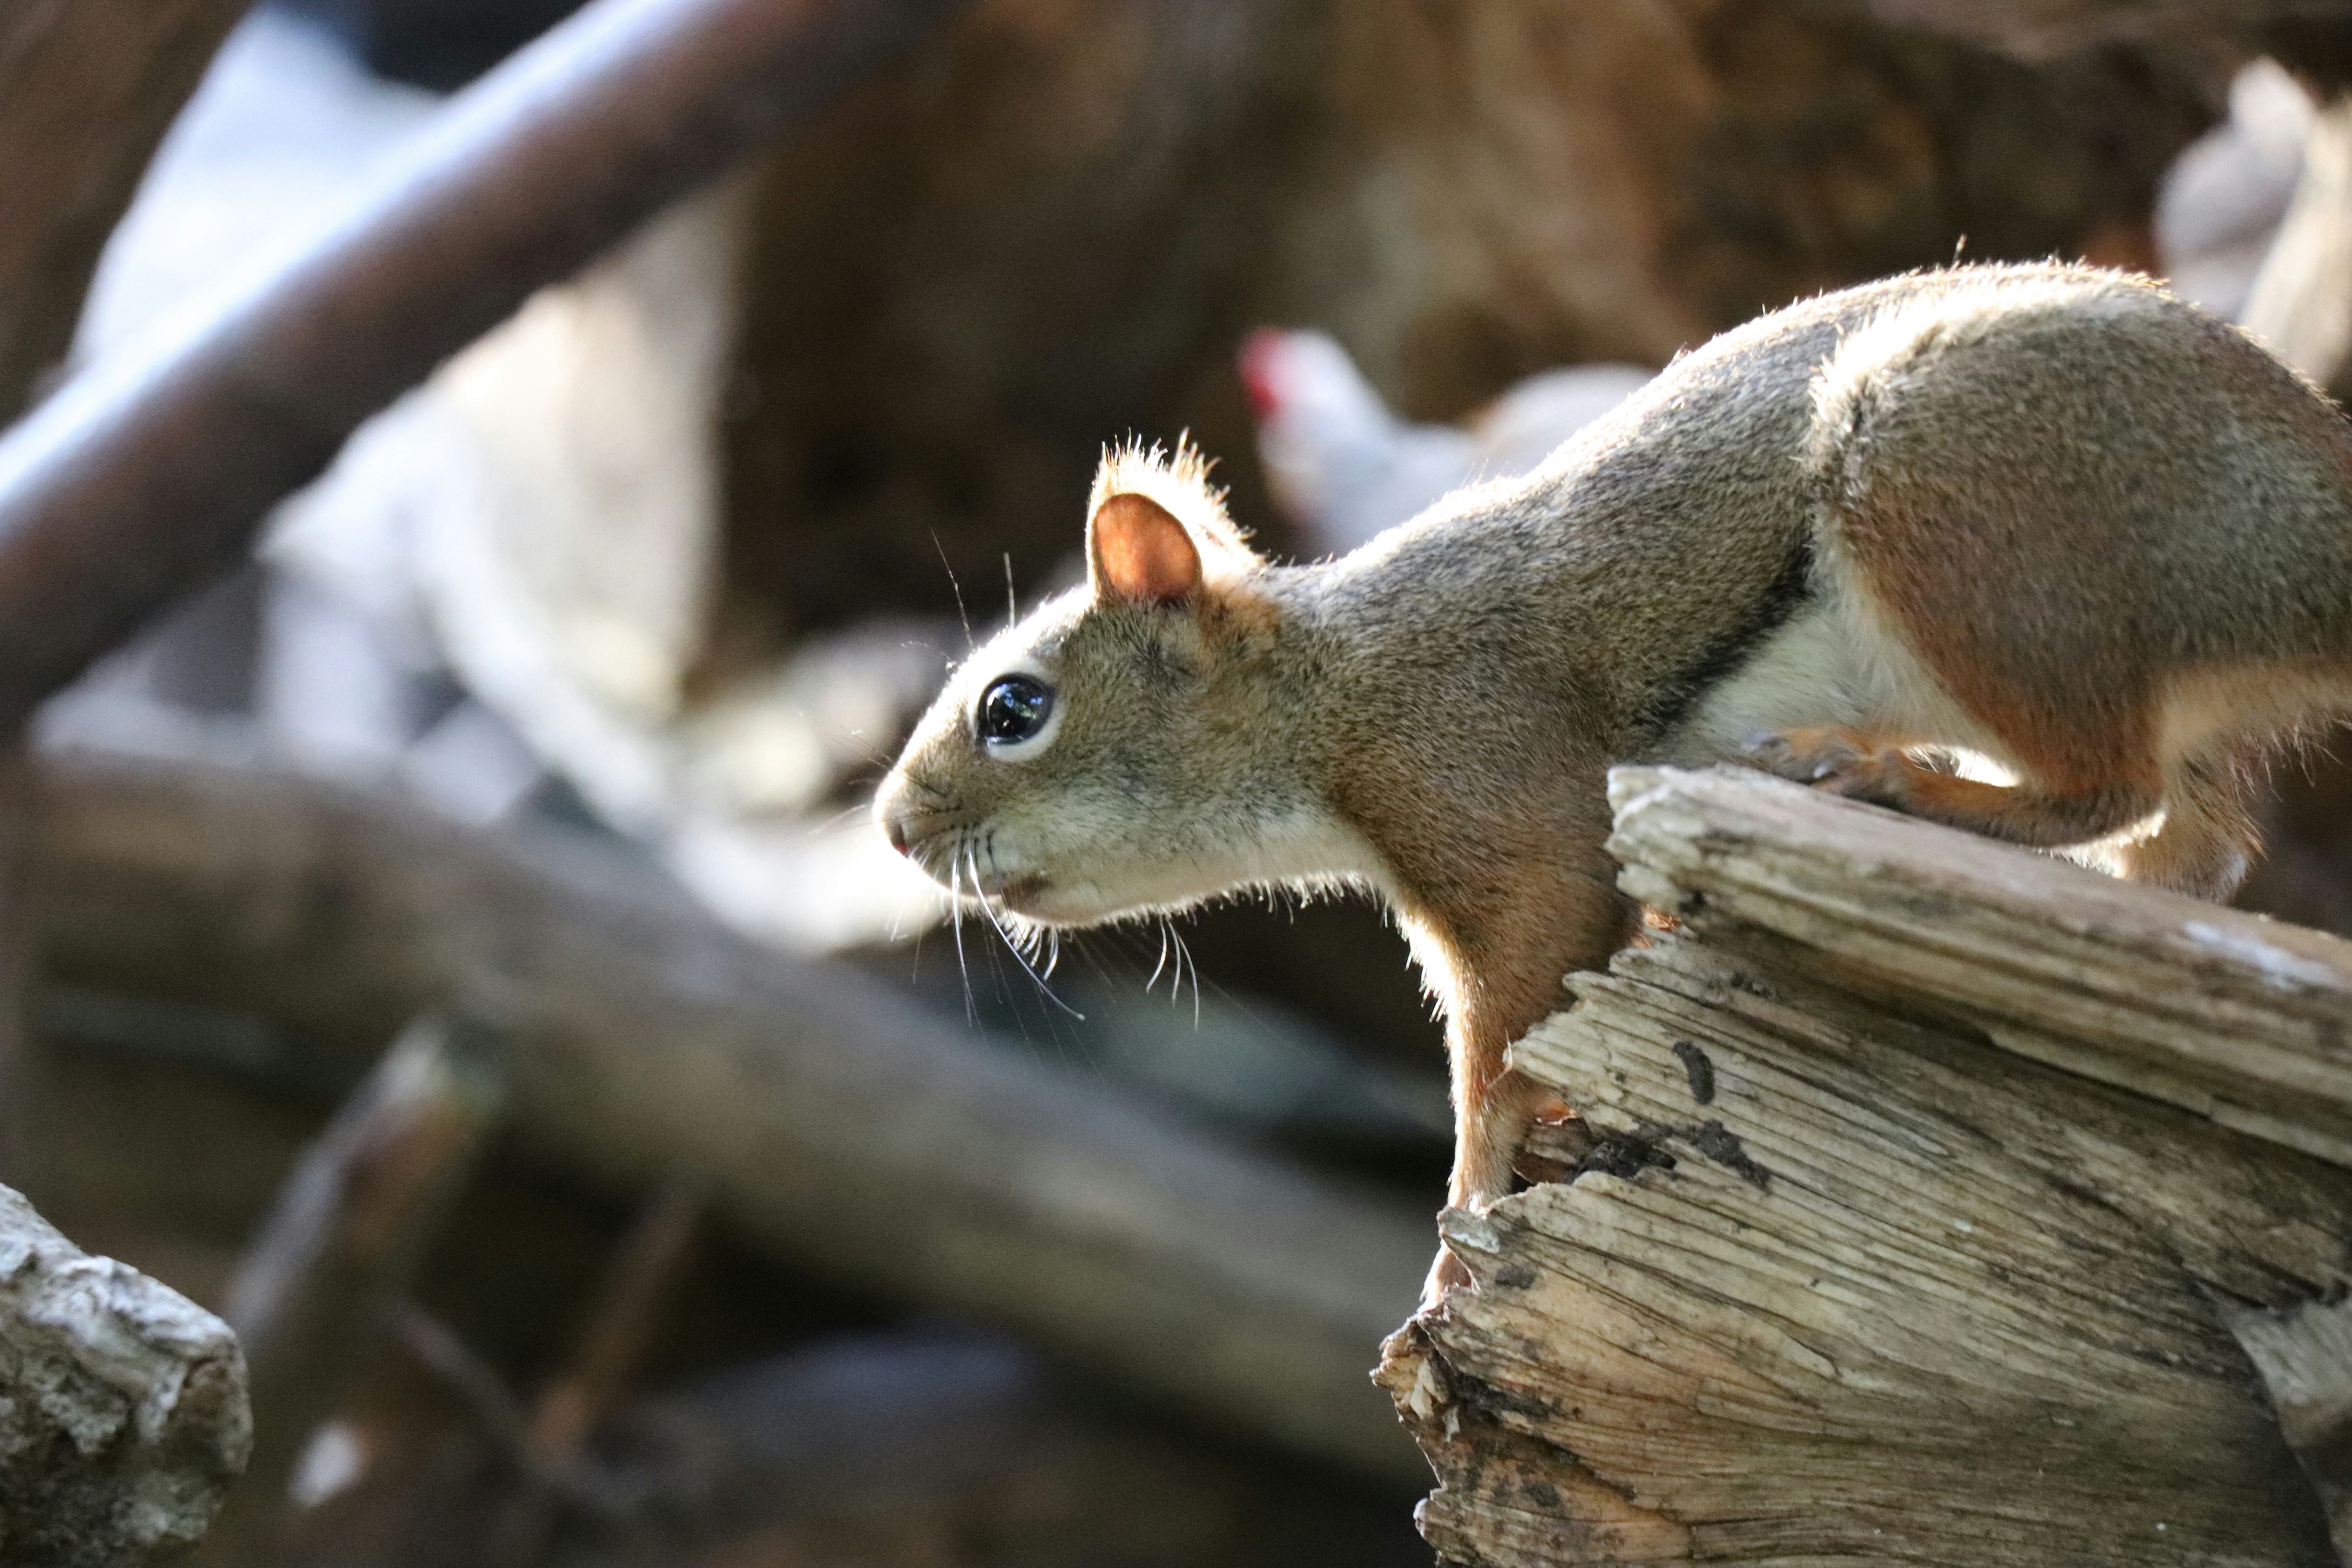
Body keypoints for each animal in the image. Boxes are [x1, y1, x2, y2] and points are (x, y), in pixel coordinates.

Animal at [875, 262, 2352, 1303]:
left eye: (1013, 709)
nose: (893, 830)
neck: (1336, 691)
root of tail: (2310, 529)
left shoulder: (1497, 799)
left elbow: (1509, 1035)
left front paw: (1467, 1220)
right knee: (2201, 844)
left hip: (1958, 504)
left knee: (2105, 780)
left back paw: (1891, 782)